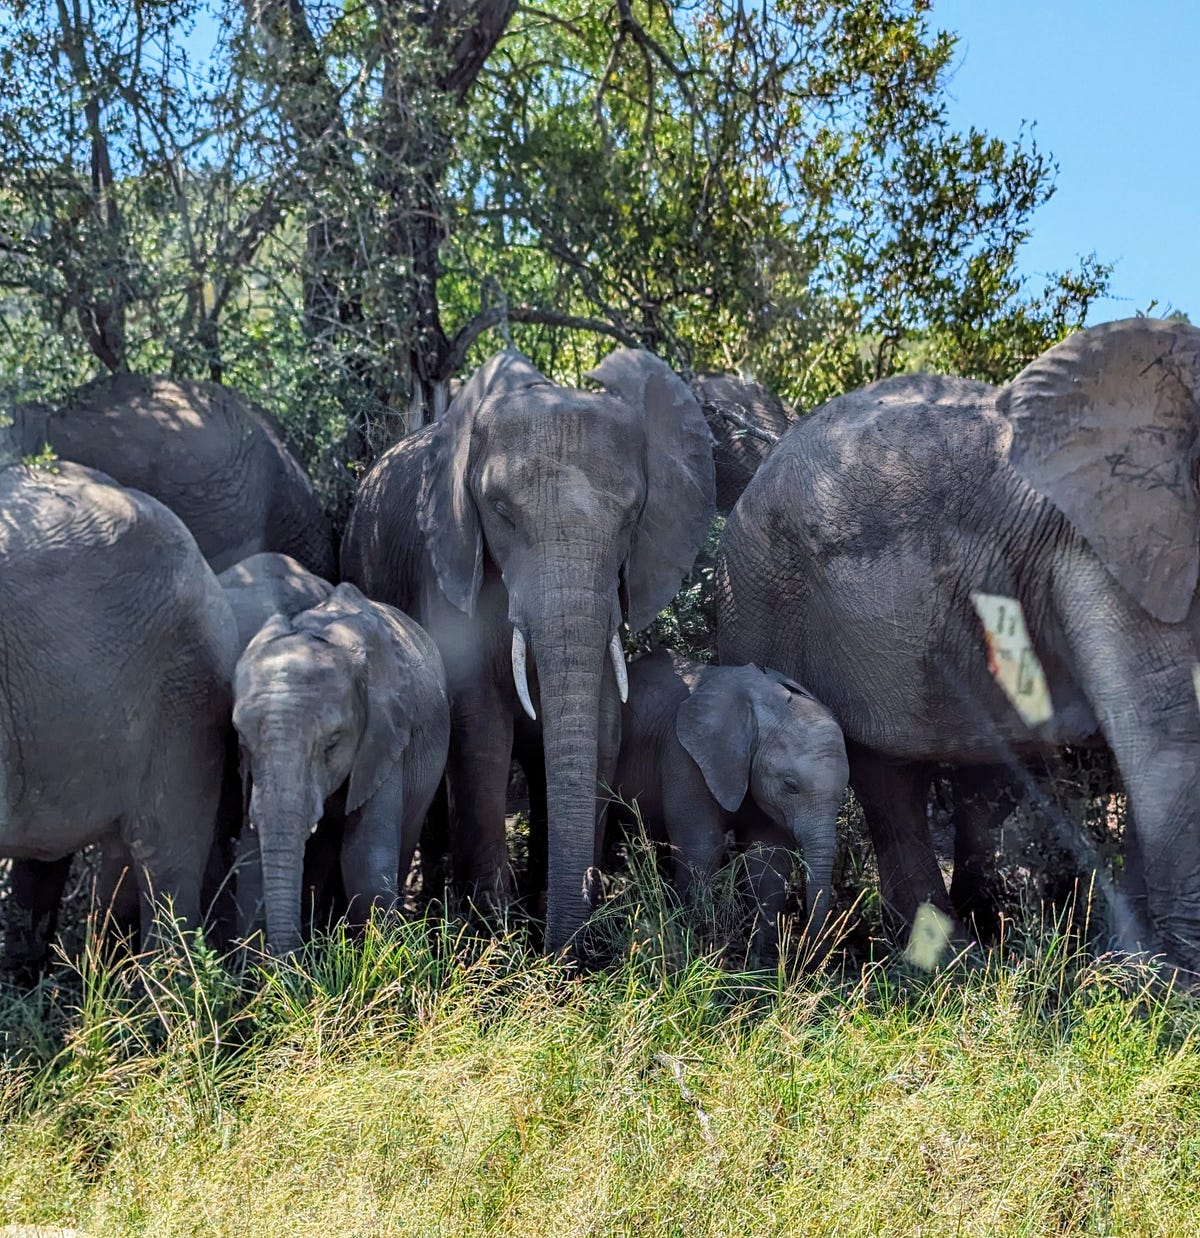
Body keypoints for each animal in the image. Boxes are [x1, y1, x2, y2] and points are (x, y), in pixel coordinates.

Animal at [232, 582, 450, 954]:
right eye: (243, 741)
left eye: (332, 742)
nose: (295, 958)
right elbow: (251, 860)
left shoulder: (385, 736)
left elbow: (363, 855)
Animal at [340, 347, 715, 951]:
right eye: (500, 510)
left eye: (632, 515)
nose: (559, 953)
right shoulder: (446, 559)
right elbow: (480, 726)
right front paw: (496, 934)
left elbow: (603, 722)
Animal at [610, 649, 848, 958]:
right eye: (790, 786)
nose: (809, 950)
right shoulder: (684, 753)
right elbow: (701, 847)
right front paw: (700, 945)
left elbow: (768, 860)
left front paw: (762, 962)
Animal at [716, 317, 1200, 969]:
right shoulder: (1099, 544)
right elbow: (1165, 732)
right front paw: (1164, 979)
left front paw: (1136, 967)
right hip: (757, 592)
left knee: (899, 775)